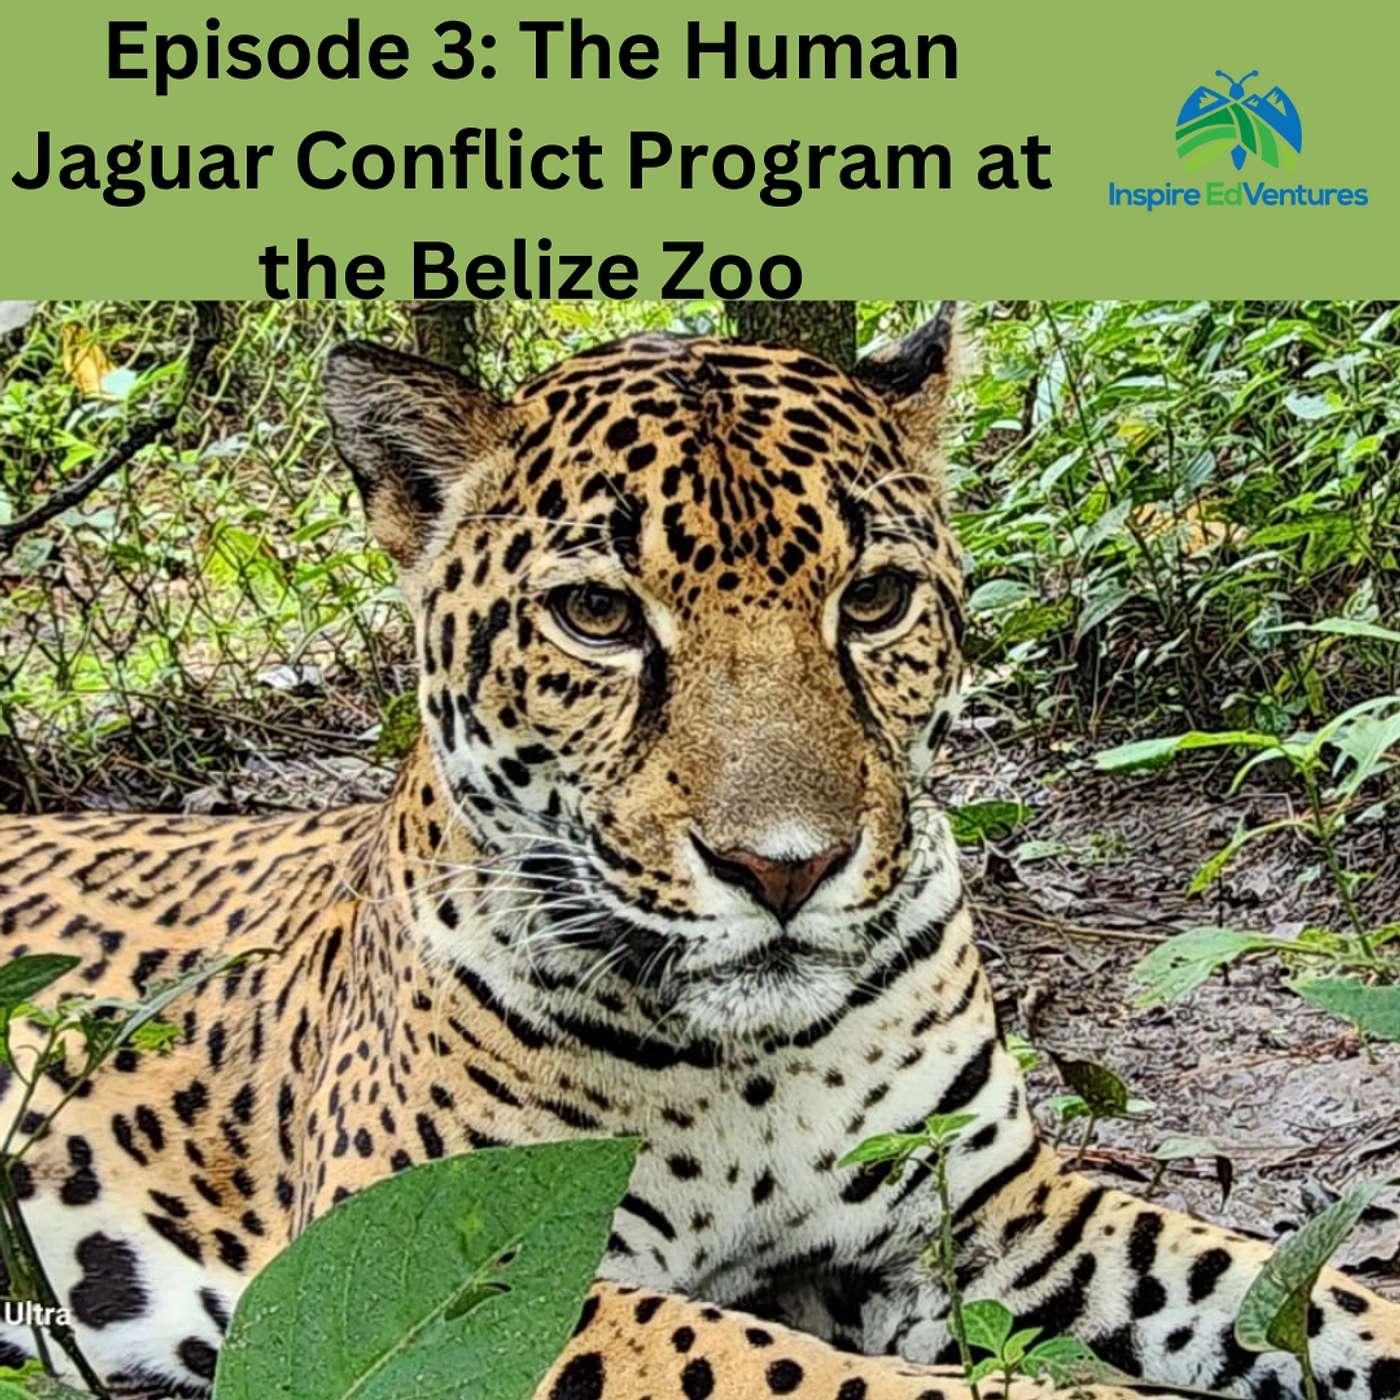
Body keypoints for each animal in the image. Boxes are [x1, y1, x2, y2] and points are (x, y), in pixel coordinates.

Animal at [1, 309, 1397, 1400]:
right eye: (596, 614)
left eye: (873, 599)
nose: (785, 867)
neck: (762, 1063)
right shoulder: (462, 1274)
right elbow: (845, 1380)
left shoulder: (998, 1210)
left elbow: (1284, 1282)